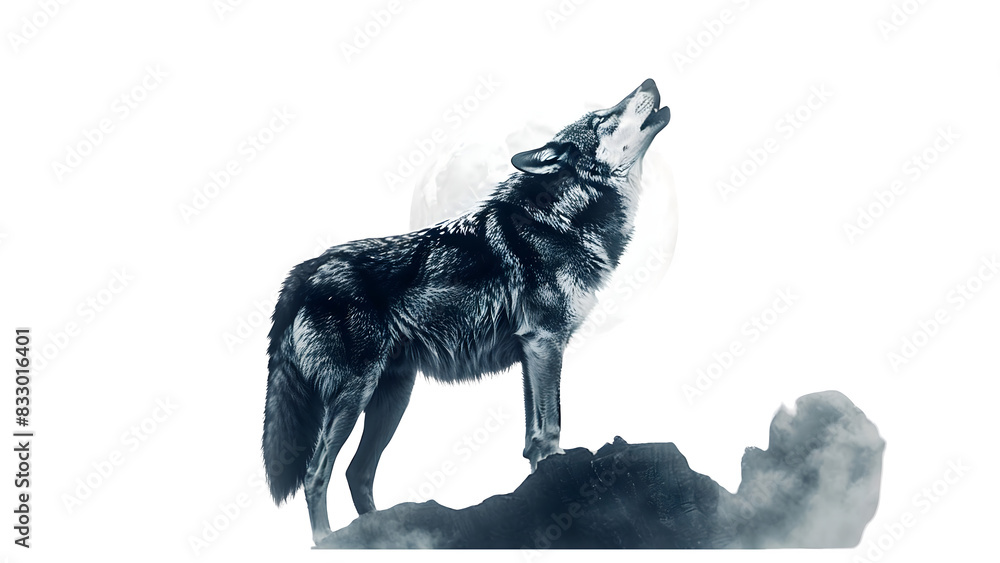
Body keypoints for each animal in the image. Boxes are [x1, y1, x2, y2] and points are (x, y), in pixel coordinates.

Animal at [262, 78, 670, 544]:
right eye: (603, 117)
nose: (649, 81)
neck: (563, 219)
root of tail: (304, 271)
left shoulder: (531, 353)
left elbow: (532, 438)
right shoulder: (545, 343)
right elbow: (551, 427)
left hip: (392, 399)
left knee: (356, 473)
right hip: (354, 396)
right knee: (317, 474)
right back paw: (328, 541)